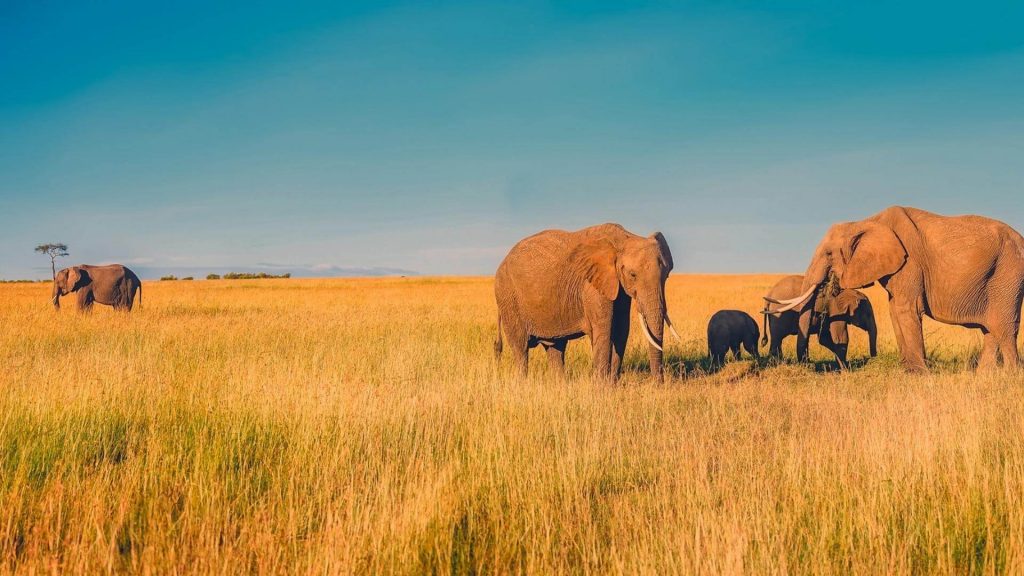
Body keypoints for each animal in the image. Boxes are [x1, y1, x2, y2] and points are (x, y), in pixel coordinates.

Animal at [494, 223, 678, 382]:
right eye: (633, 275)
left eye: (667, 275)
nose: (658, 385)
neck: (624, 238)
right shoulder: (592, 286)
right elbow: (604, 330)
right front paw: (601, 388)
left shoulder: (617, 286)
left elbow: (621, 329)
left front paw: (612, 385)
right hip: (508, 297)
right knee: (521, 349)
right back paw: (522, 383)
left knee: (555, 348)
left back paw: (560, 385)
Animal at [767, 206, 1024, 372]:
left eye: (829, 253)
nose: (807, 364)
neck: (867, 221)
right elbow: (894, 310)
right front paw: (906, 368)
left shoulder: (910, 262)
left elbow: (905, 309)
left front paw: (919, 373)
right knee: (991, 330)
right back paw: (984, 377)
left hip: (1008, 274)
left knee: (1004, 328)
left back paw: (1010, 377)